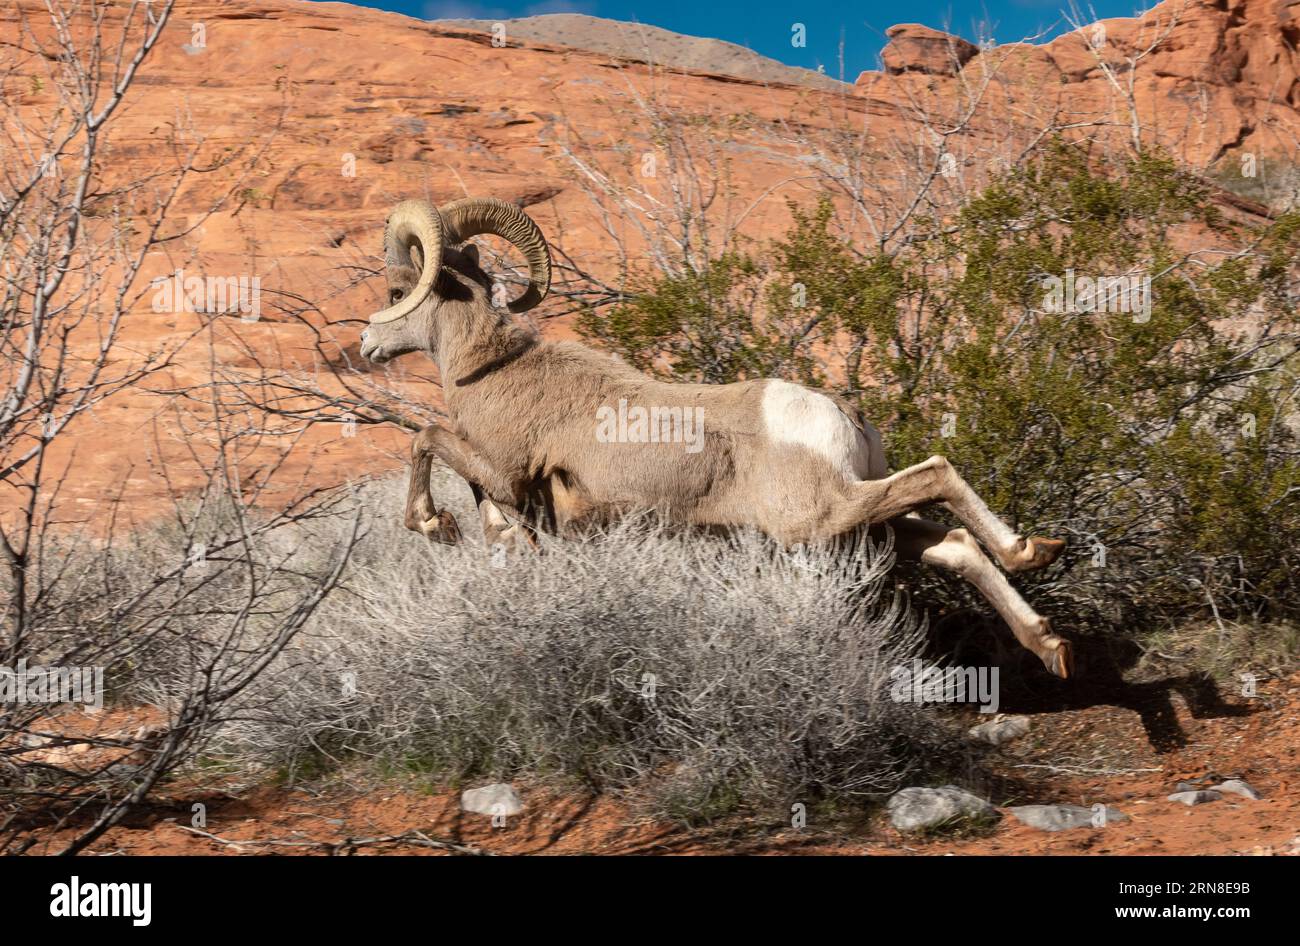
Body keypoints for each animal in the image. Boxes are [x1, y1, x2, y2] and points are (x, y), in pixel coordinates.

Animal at [360, 198, 1072, 678]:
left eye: (397, 290)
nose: (367, 344)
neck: (495, 370)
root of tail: (841, 414)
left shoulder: (505, 474)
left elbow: (426, 439)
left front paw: (433, 525)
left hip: (819, 518)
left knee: (938, 473)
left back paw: (1031, 555)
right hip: (865, 528)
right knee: (955, 545)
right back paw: (1050, 641)